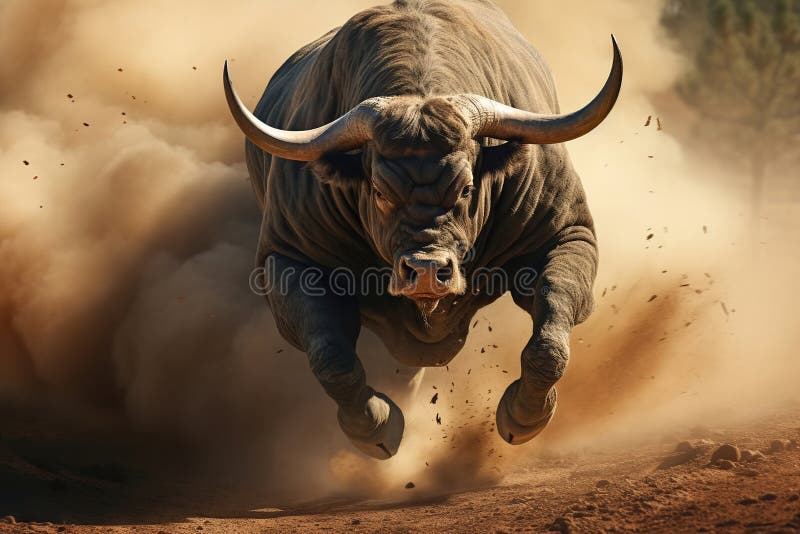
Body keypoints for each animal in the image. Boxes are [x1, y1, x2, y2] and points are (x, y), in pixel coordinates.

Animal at [223, 0, 621, 459]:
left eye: (467, 187)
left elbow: (550, 337)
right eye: (379, 191)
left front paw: (522, 418)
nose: (428, 271)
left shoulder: (567, 235)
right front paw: (378, 429)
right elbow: (331, 358)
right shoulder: (289, 259)